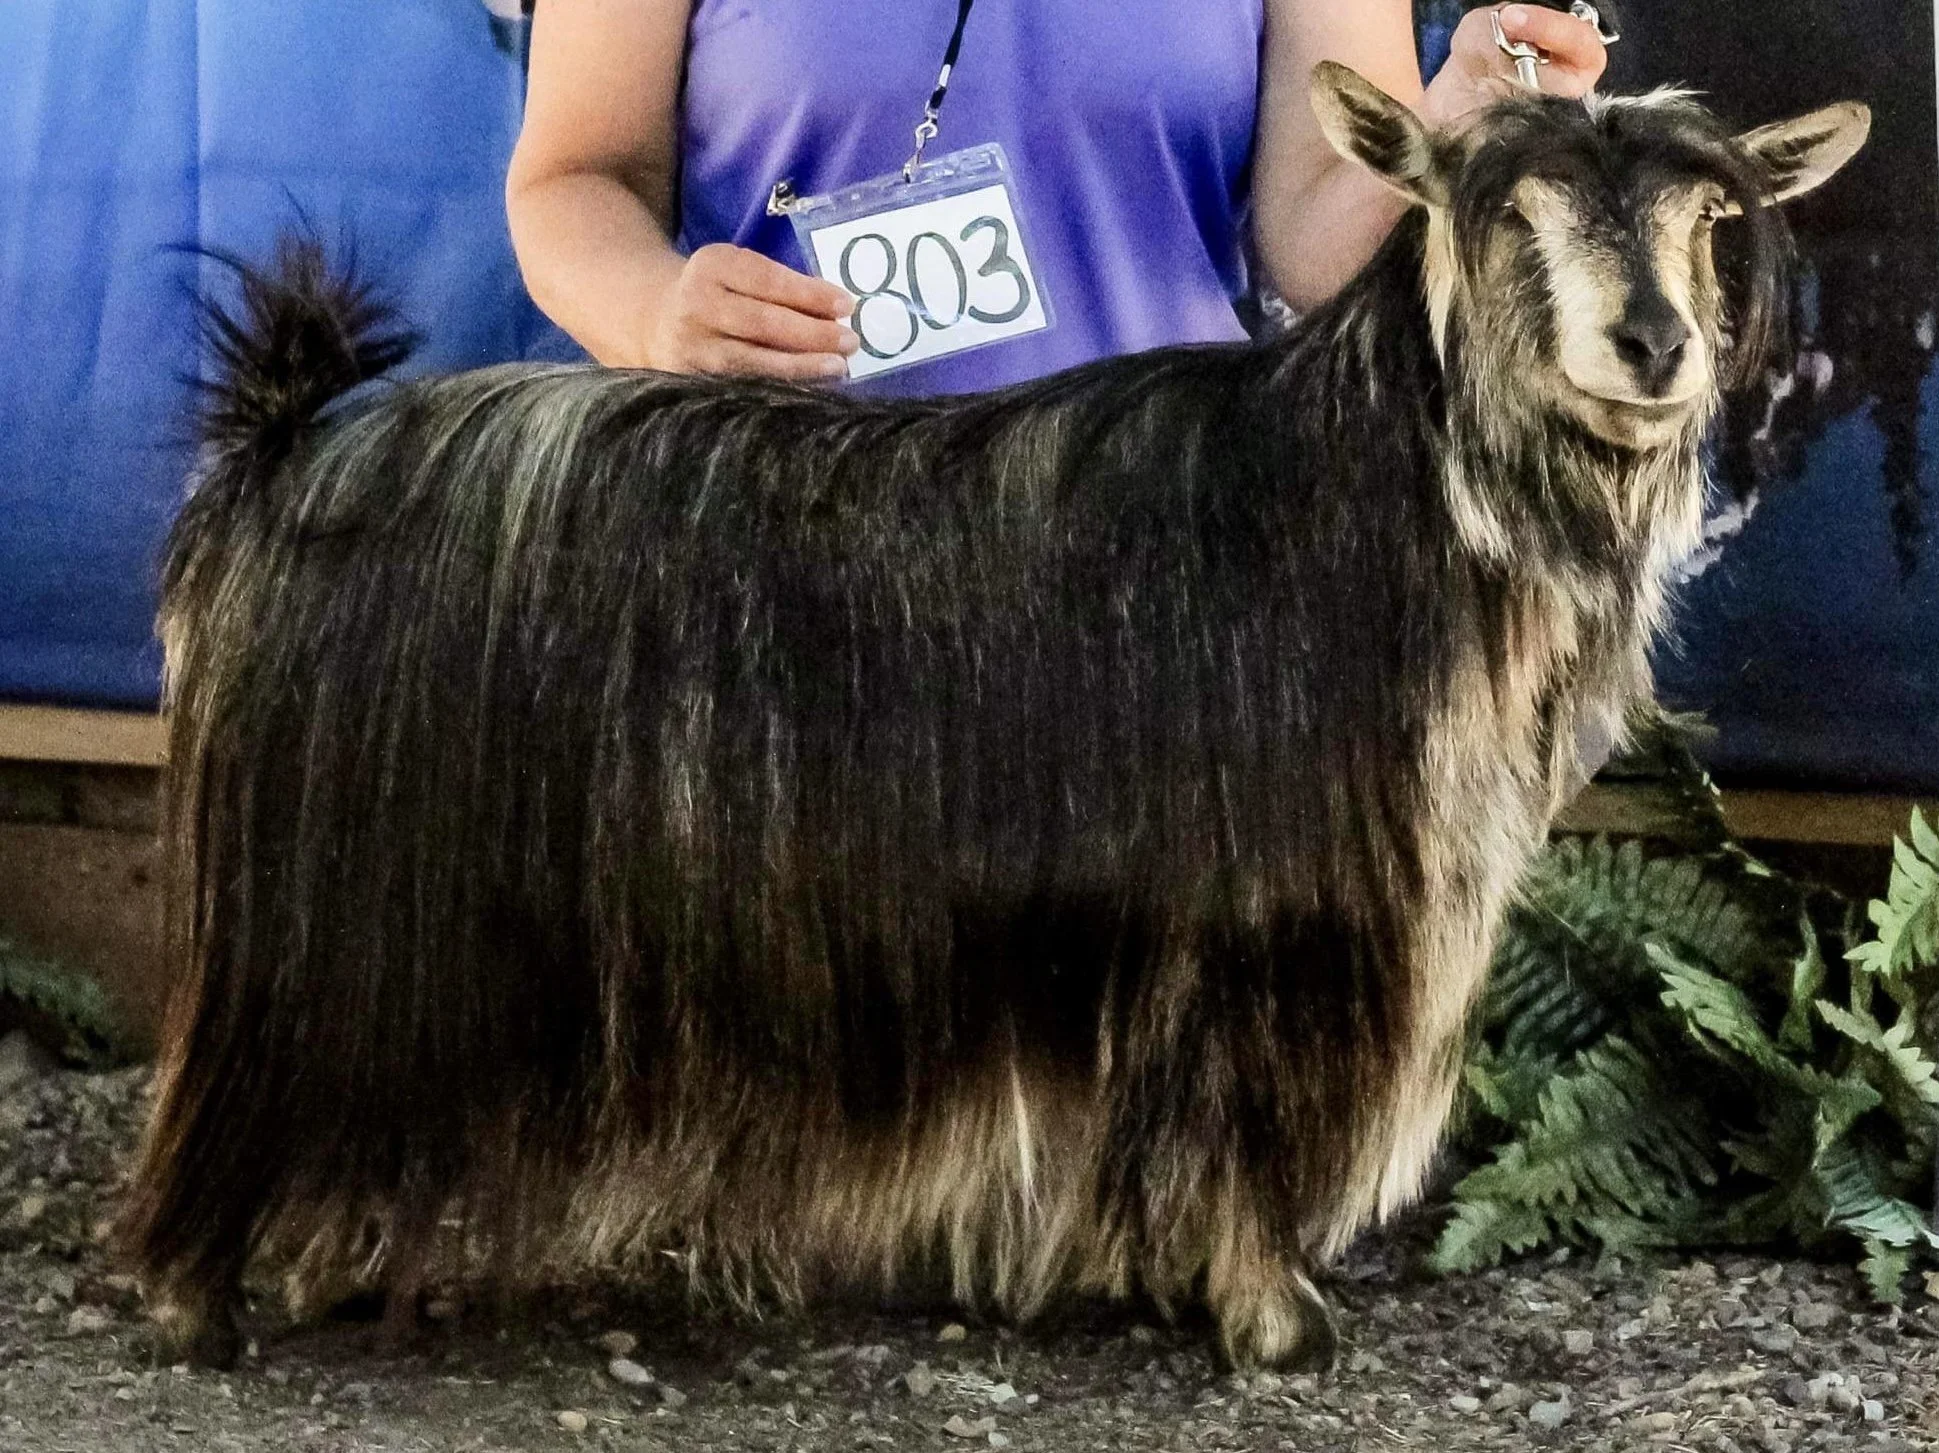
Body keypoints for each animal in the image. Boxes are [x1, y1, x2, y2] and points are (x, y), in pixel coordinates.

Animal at [120, 66, 1868, 1370]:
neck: (1362, 505)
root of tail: (281, 459)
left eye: (1708, 214)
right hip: (330, 917)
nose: (1651, 345)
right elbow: (1237, 1123)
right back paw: (202, 1299)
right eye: (1508, 208)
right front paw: (1268, 1318)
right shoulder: (1260, 928)